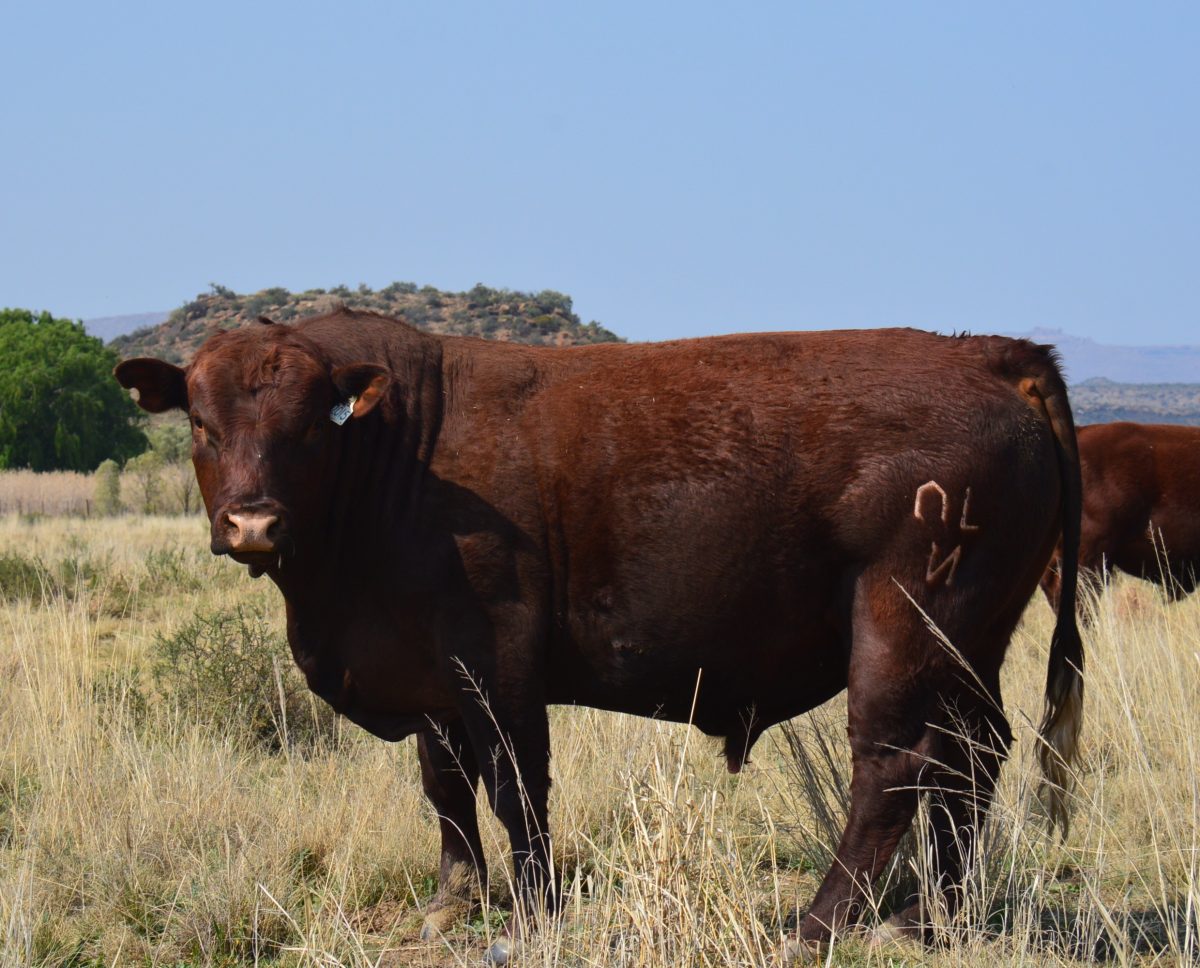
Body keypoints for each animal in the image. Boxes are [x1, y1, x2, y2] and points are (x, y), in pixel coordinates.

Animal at [115, 309, 1083, 963]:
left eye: (311, 424)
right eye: (201, 422)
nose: (253, 523)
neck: (396, 458)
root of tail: (987, 353)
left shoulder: (497, 662)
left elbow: (516, 788)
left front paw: (532, 914)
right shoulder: (428, 676)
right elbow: (445, 788)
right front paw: (449, 903)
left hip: (900, 627)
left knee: (893, 765)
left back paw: (818, 925)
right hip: (971, 644)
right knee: (970, 755)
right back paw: (937, 916)